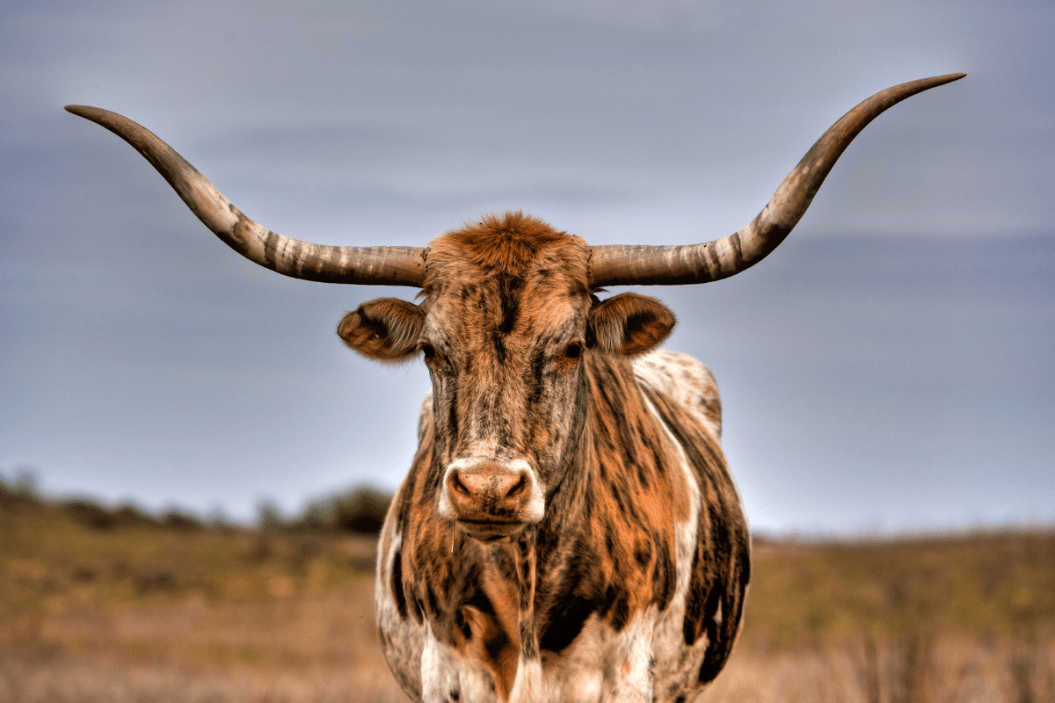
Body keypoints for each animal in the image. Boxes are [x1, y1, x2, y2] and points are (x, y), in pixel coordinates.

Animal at [66, 72, 963, 702]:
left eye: (568, 346)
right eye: (433, 349)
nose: (489, 488)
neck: (530, 591)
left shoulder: (624, 678)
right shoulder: (449, 675)